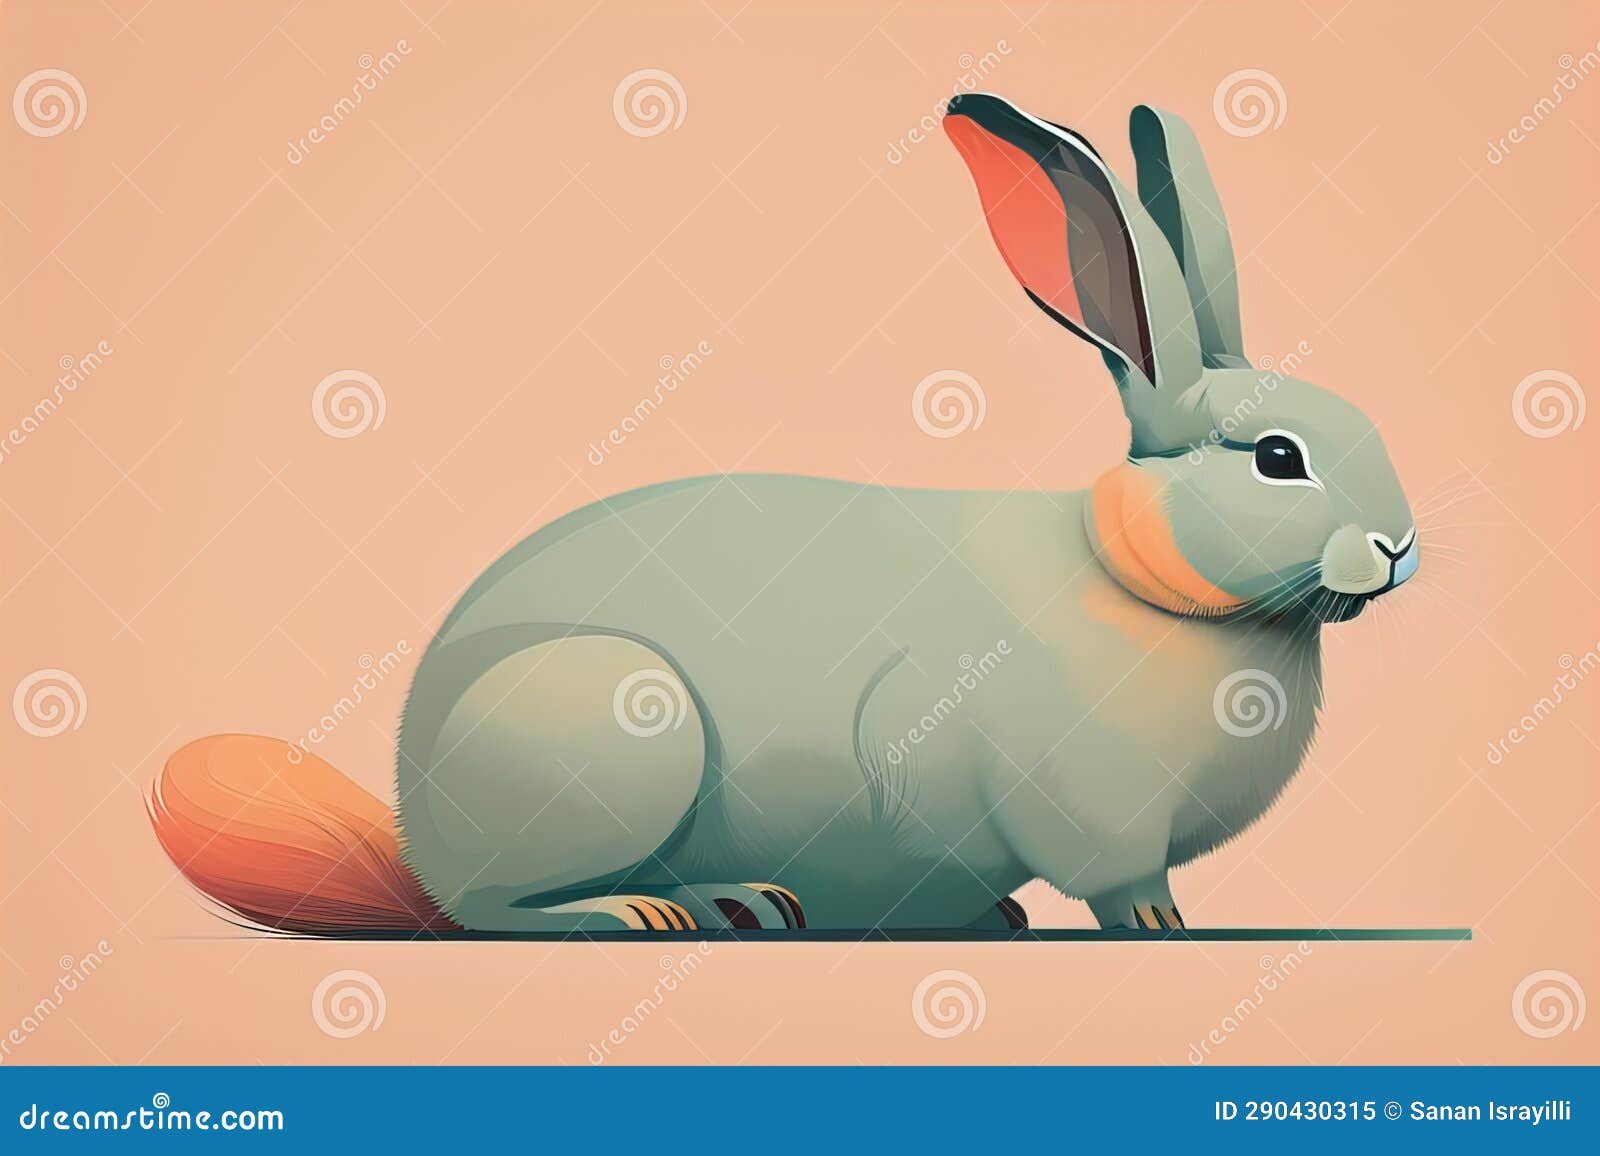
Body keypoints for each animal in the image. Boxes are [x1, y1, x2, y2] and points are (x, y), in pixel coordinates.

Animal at [149, 93, 1417, 935]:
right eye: (1276, 456)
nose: (1397, 547)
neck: (1147, 580)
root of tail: (418, 830)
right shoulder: (1087, 813)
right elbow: (1123, 885)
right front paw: (1160, 928)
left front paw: (1008, 916)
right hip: (615, 732)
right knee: (504, 909)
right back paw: (678, 906)